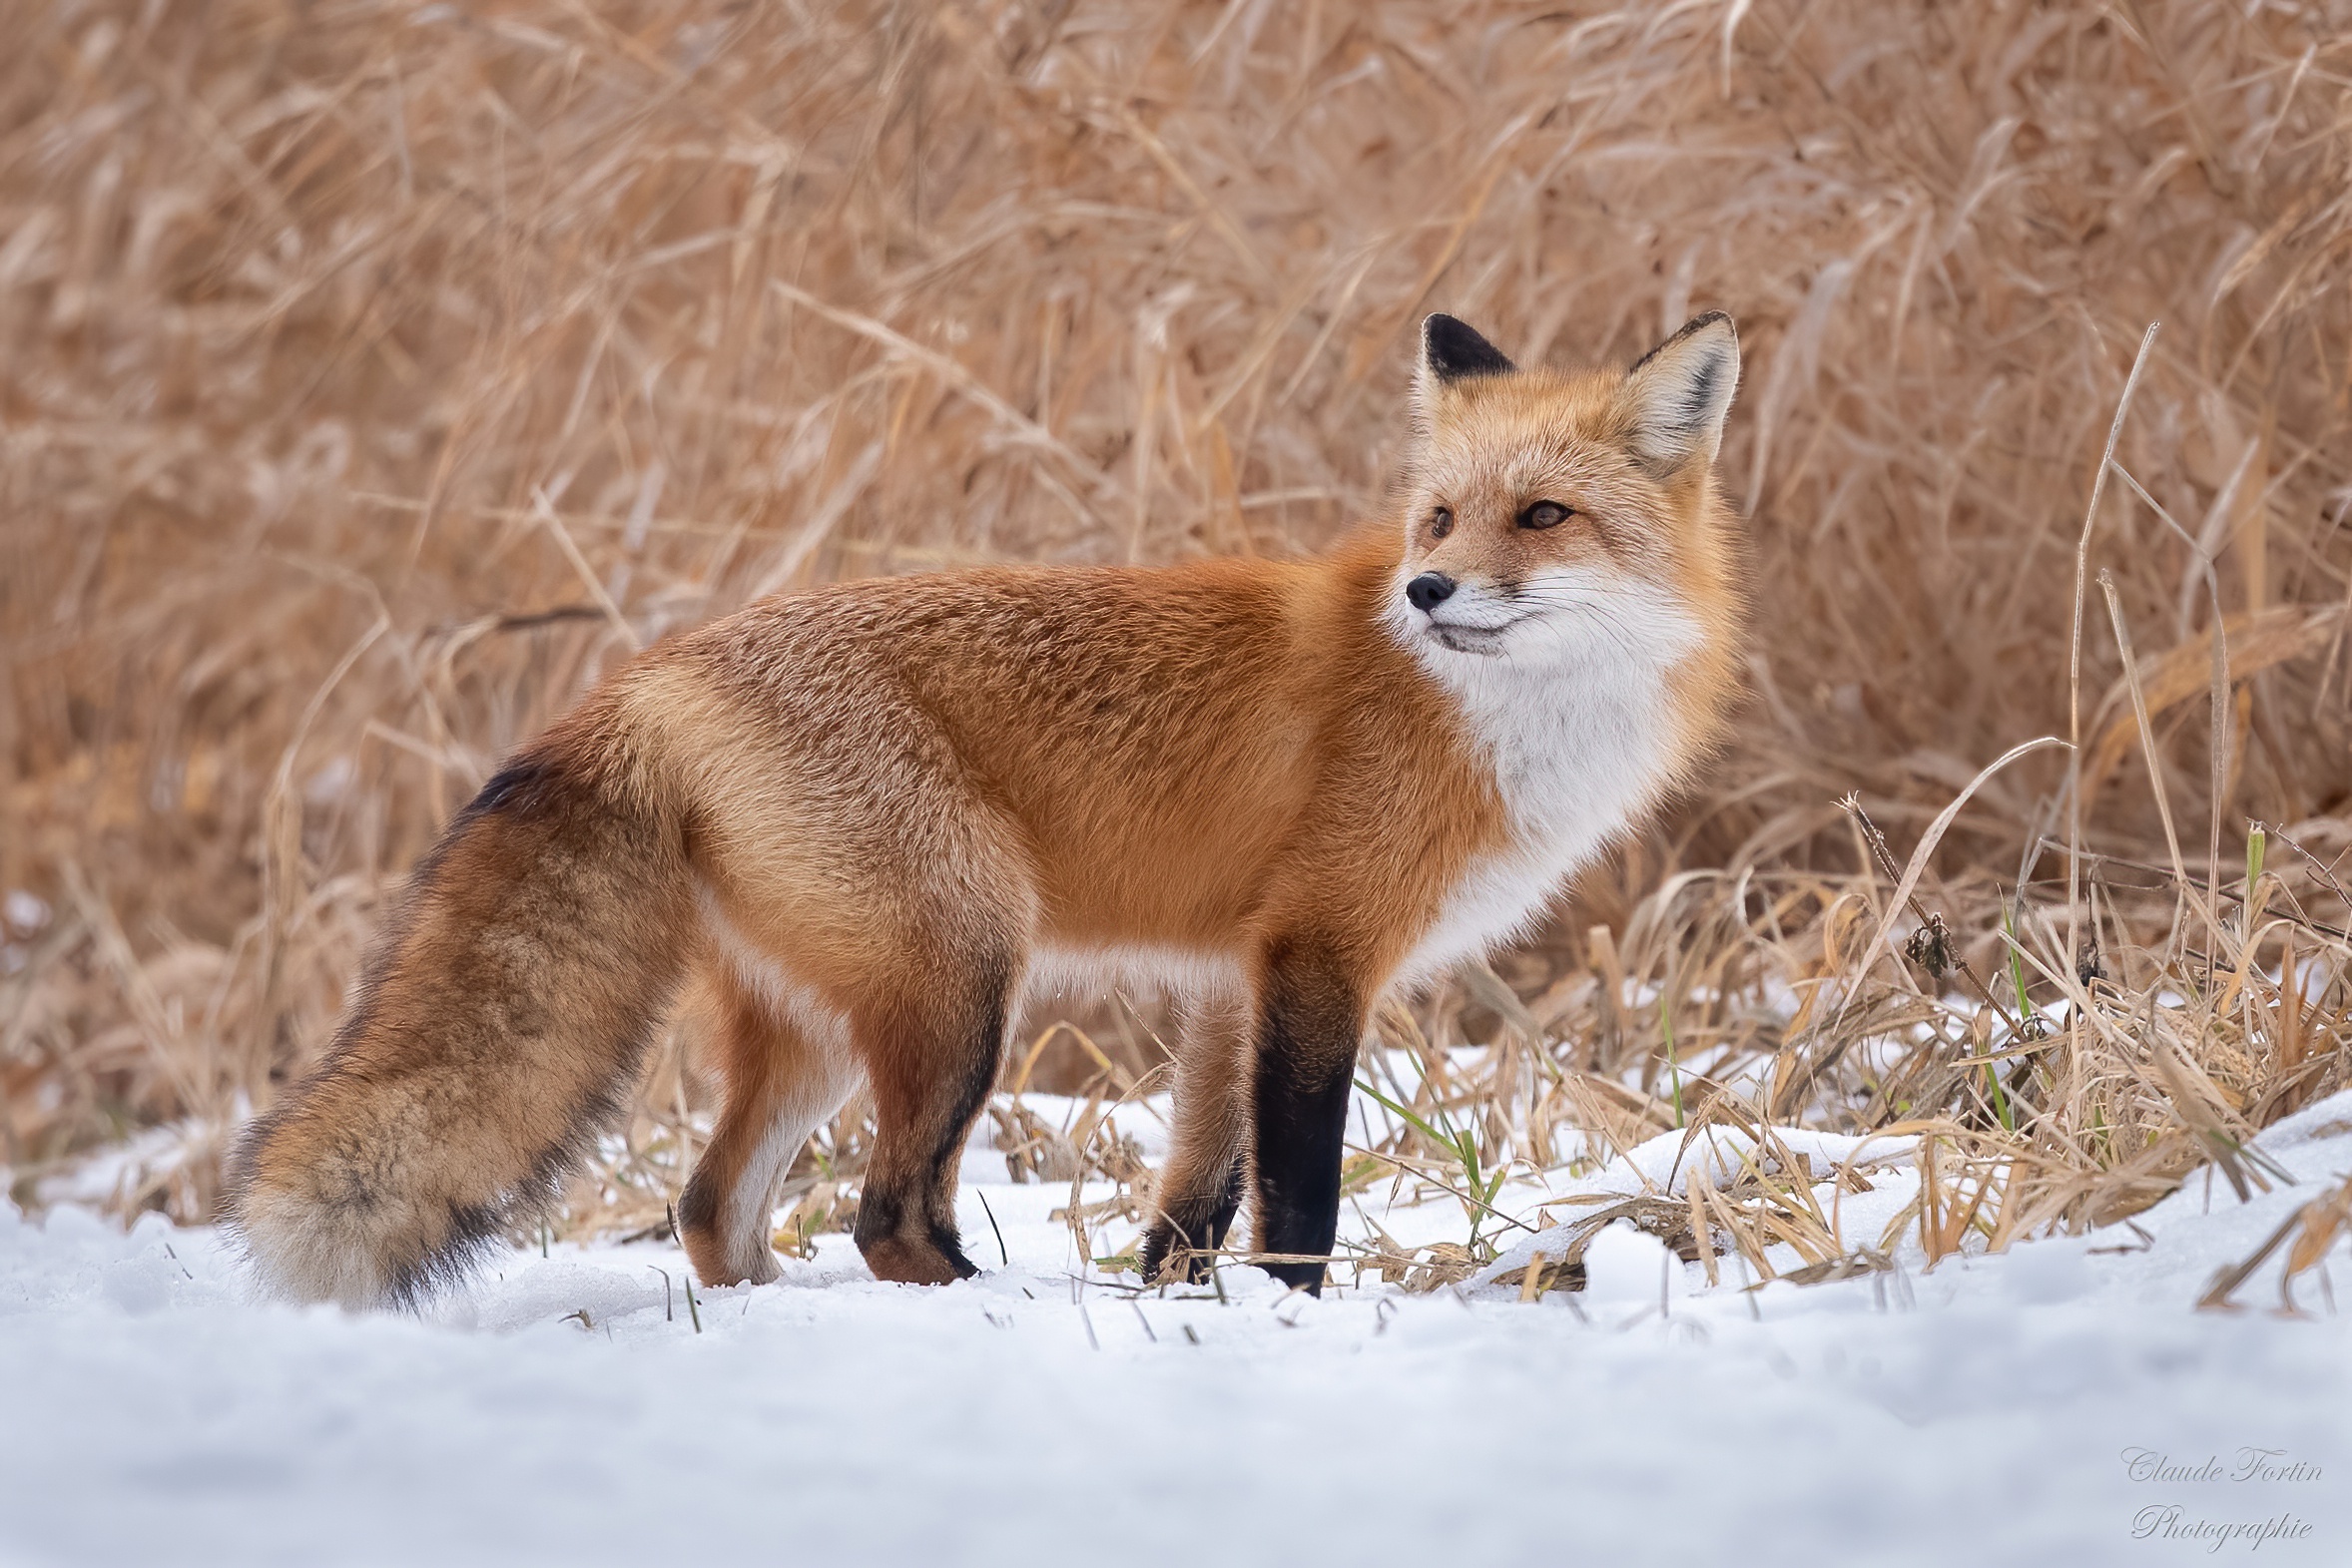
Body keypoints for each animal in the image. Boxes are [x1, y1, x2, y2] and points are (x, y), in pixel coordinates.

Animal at [228, 311, 1745, 1306]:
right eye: (1437, 521)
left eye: (1540, 515)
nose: (1427, 592)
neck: (1484, 713)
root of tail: (651, 677)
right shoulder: (1319, 950)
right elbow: (1299, 1182)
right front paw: (1294, 1315)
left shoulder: (1230, 975)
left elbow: (1194, 1188)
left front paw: (1177, 1304)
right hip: (965, 978)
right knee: (884, 1211)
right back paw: (978, 1305)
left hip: (831, 1025)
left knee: (715, 1204)